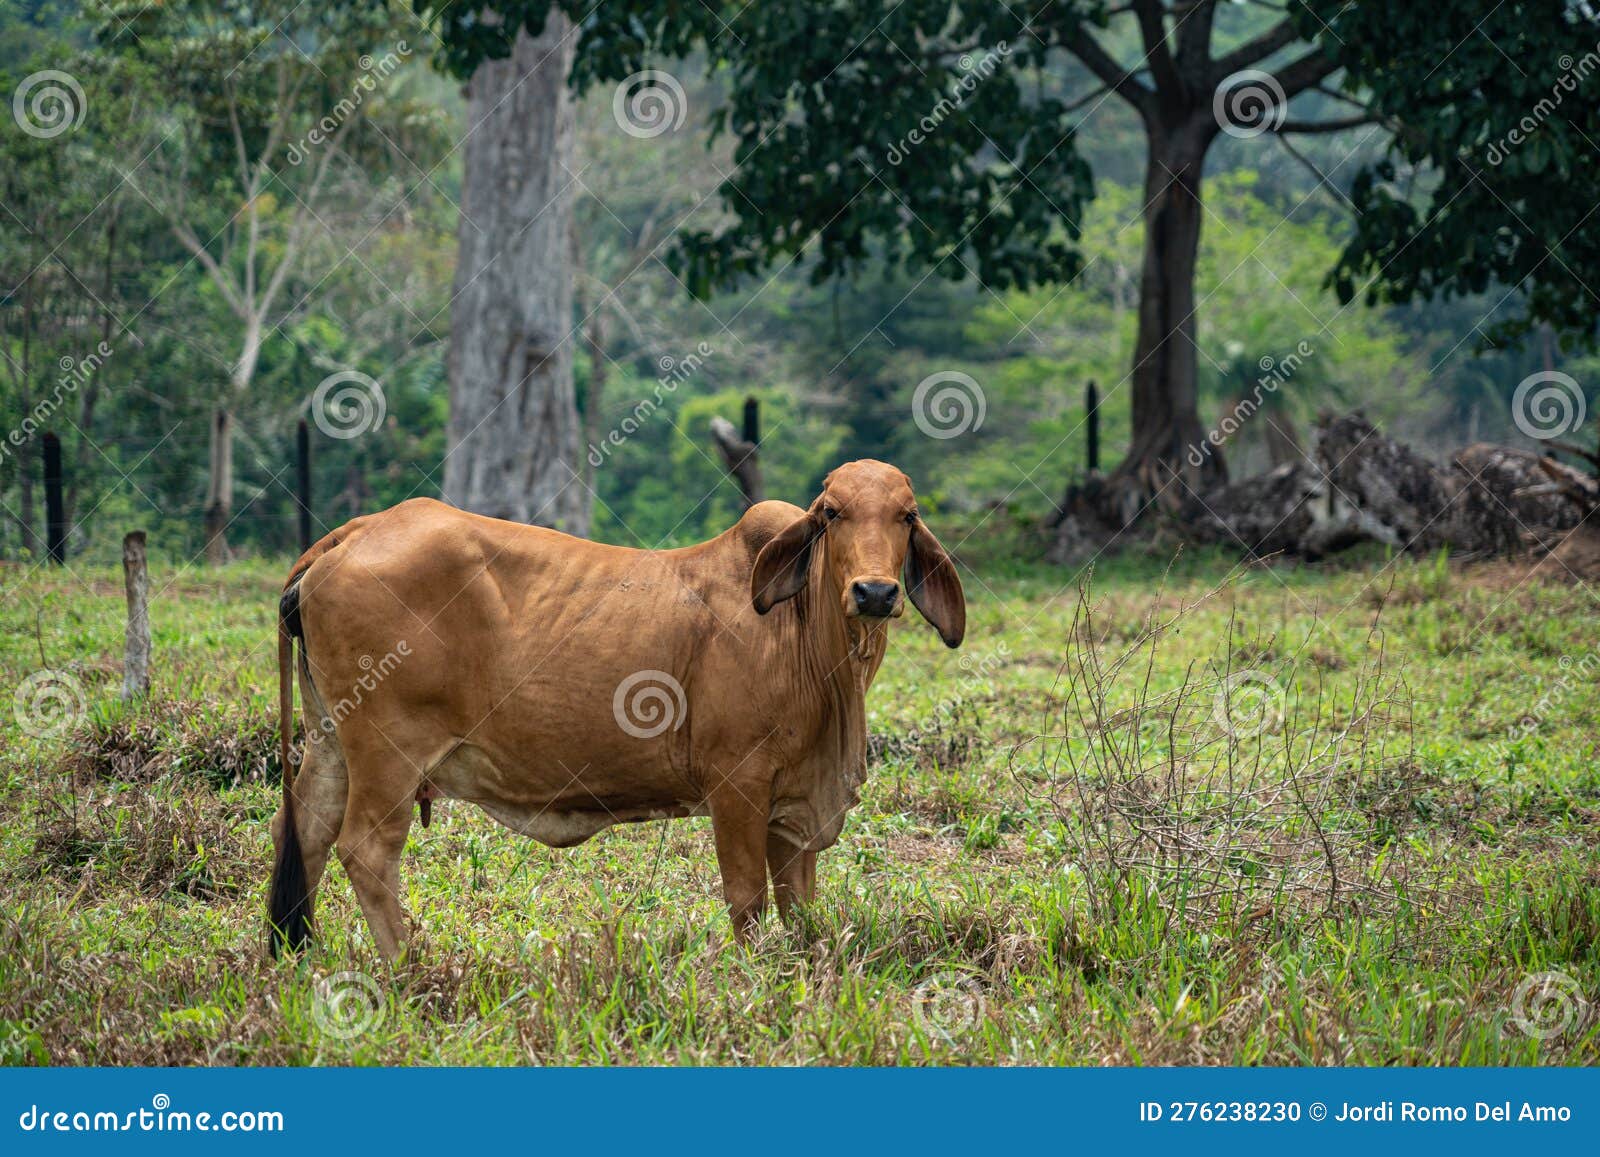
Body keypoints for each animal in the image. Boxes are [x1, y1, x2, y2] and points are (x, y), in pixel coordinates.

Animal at [268, 459, 965, 960]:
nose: (874, 593)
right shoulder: (737, 783)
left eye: (907, 515)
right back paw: (411, 968)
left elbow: (801, 906)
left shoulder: (794, 807)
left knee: (305, 830)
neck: (803, 640)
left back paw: (298, 957)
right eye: (832, 512)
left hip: (332, 740)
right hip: (388, 749)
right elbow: (747, 899)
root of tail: (351, 534)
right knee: (366, 849)